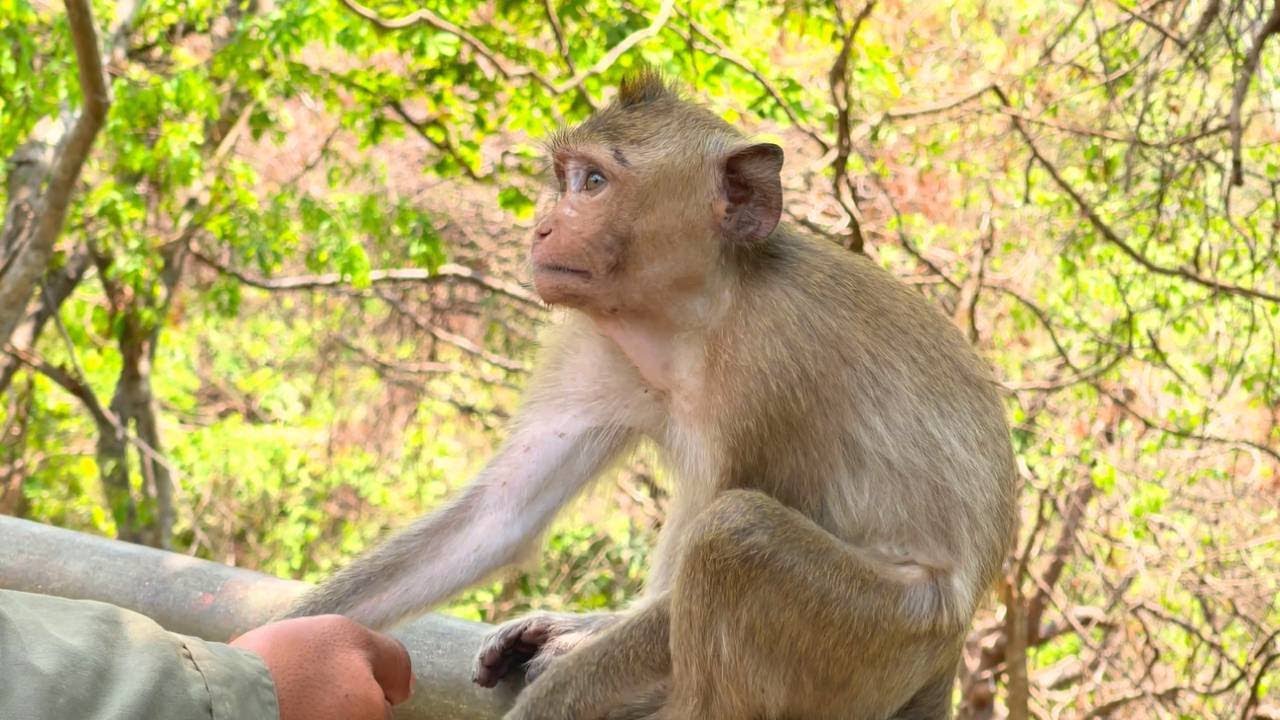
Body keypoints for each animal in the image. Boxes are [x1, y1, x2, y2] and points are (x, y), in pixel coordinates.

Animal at [286, 71, 1017, 720]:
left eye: (594, 183)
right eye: (565, 177)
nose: (541, 228)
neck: (695, 317)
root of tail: (946, 654)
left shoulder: (781, 367)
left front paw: (552, 701)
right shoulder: (600, 345)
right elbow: (500, 514)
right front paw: (295, 642)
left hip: (882, 639)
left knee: (733, 531)